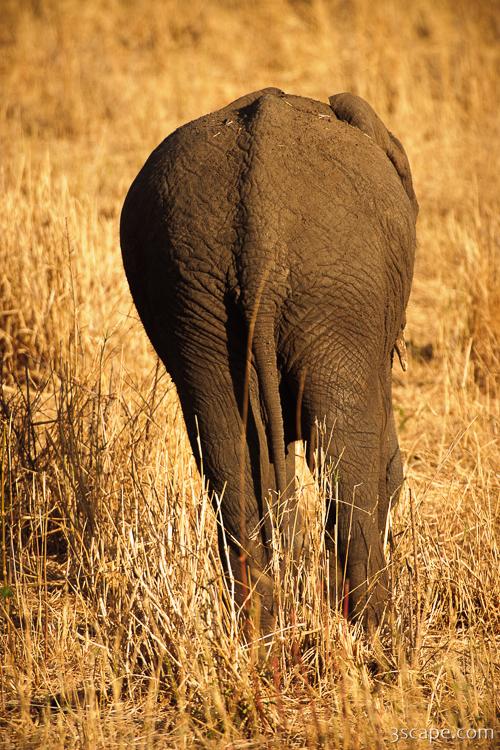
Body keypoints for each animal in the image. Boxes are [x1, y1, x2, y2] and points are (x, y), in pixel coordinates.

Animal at [120, 88, 418, 634]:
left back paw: (261, 637)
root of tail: (258, 228)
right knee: (346, 450)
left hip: (188, 290)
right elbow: (385, 461)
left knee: (226, 453)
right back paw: (380, 638)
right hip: (338, 289)